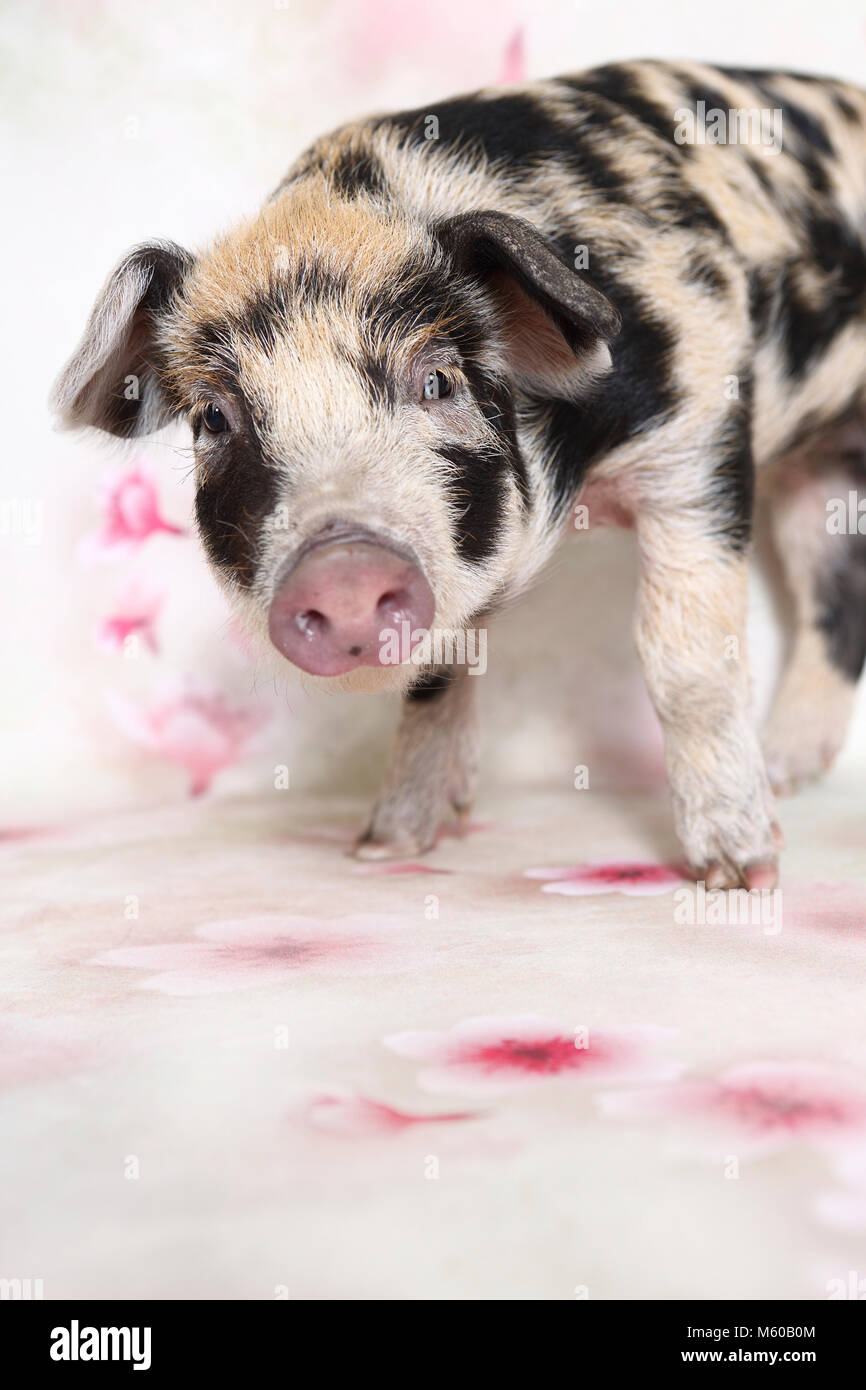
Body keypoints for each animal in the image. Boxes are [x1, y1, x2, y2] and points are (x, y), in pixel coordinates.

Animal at [53, 60, 866, 888]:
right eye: (215, 417)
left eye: (439, 380)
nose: (343, 568)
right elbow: (434, 680)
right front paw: (387, 844)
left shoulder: (696, 435)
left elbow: (687, 661)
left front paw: (741, 873)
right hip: (817, 477)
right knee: (840, 599)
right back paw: (788, 769)